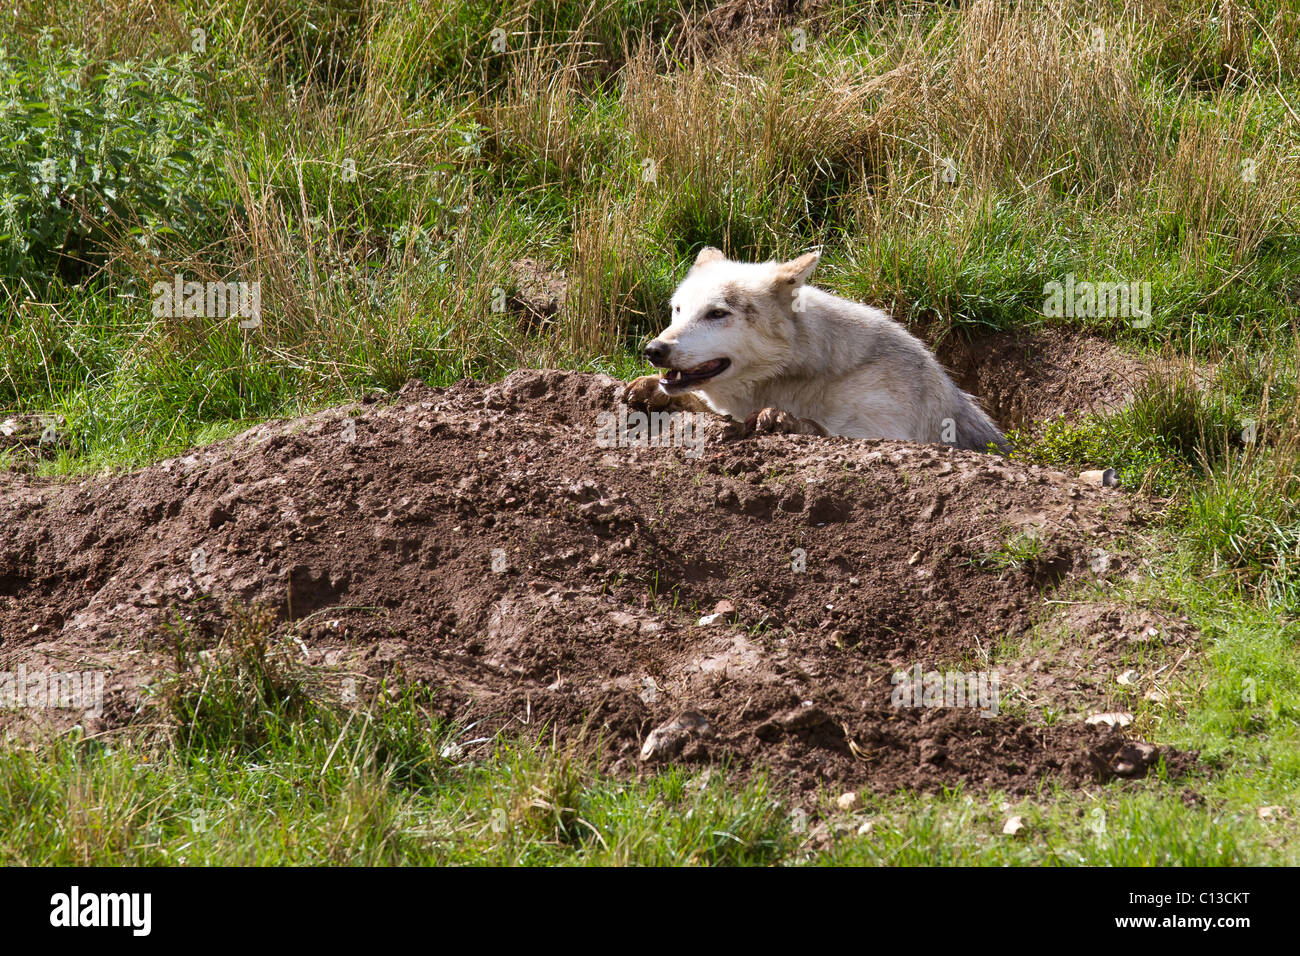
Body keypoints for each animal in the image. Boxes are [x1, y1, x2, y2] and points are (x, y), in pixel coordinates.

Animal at [623, 247, 1009, 452]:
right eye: (678, 309)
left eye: (717, 313)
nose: (654, 349)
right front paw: (649, 388)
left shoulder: (889, 430)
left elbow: (824, 428)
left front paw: (782, 419)